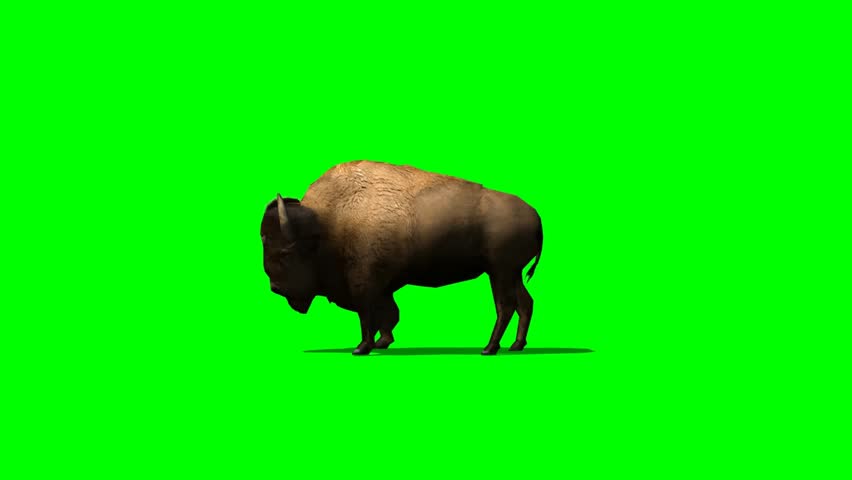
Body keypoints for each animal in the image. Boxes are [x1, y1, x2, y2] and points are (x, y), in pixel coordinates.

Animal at [261, 160, 543, 355]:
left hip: (499, 272)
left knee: (505, 306)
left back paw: (489, 348)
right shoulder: (383, 287)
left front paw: (361, 348)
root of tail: (535, 215)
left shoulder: (364, 284)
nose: (275, 288)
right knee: (525, 303)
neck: (326, 224)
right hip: (511, 274)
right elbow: (388, 314)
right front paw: (382, 343)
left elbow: (368, 315)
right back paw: (516, 345)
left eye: (285, 252)